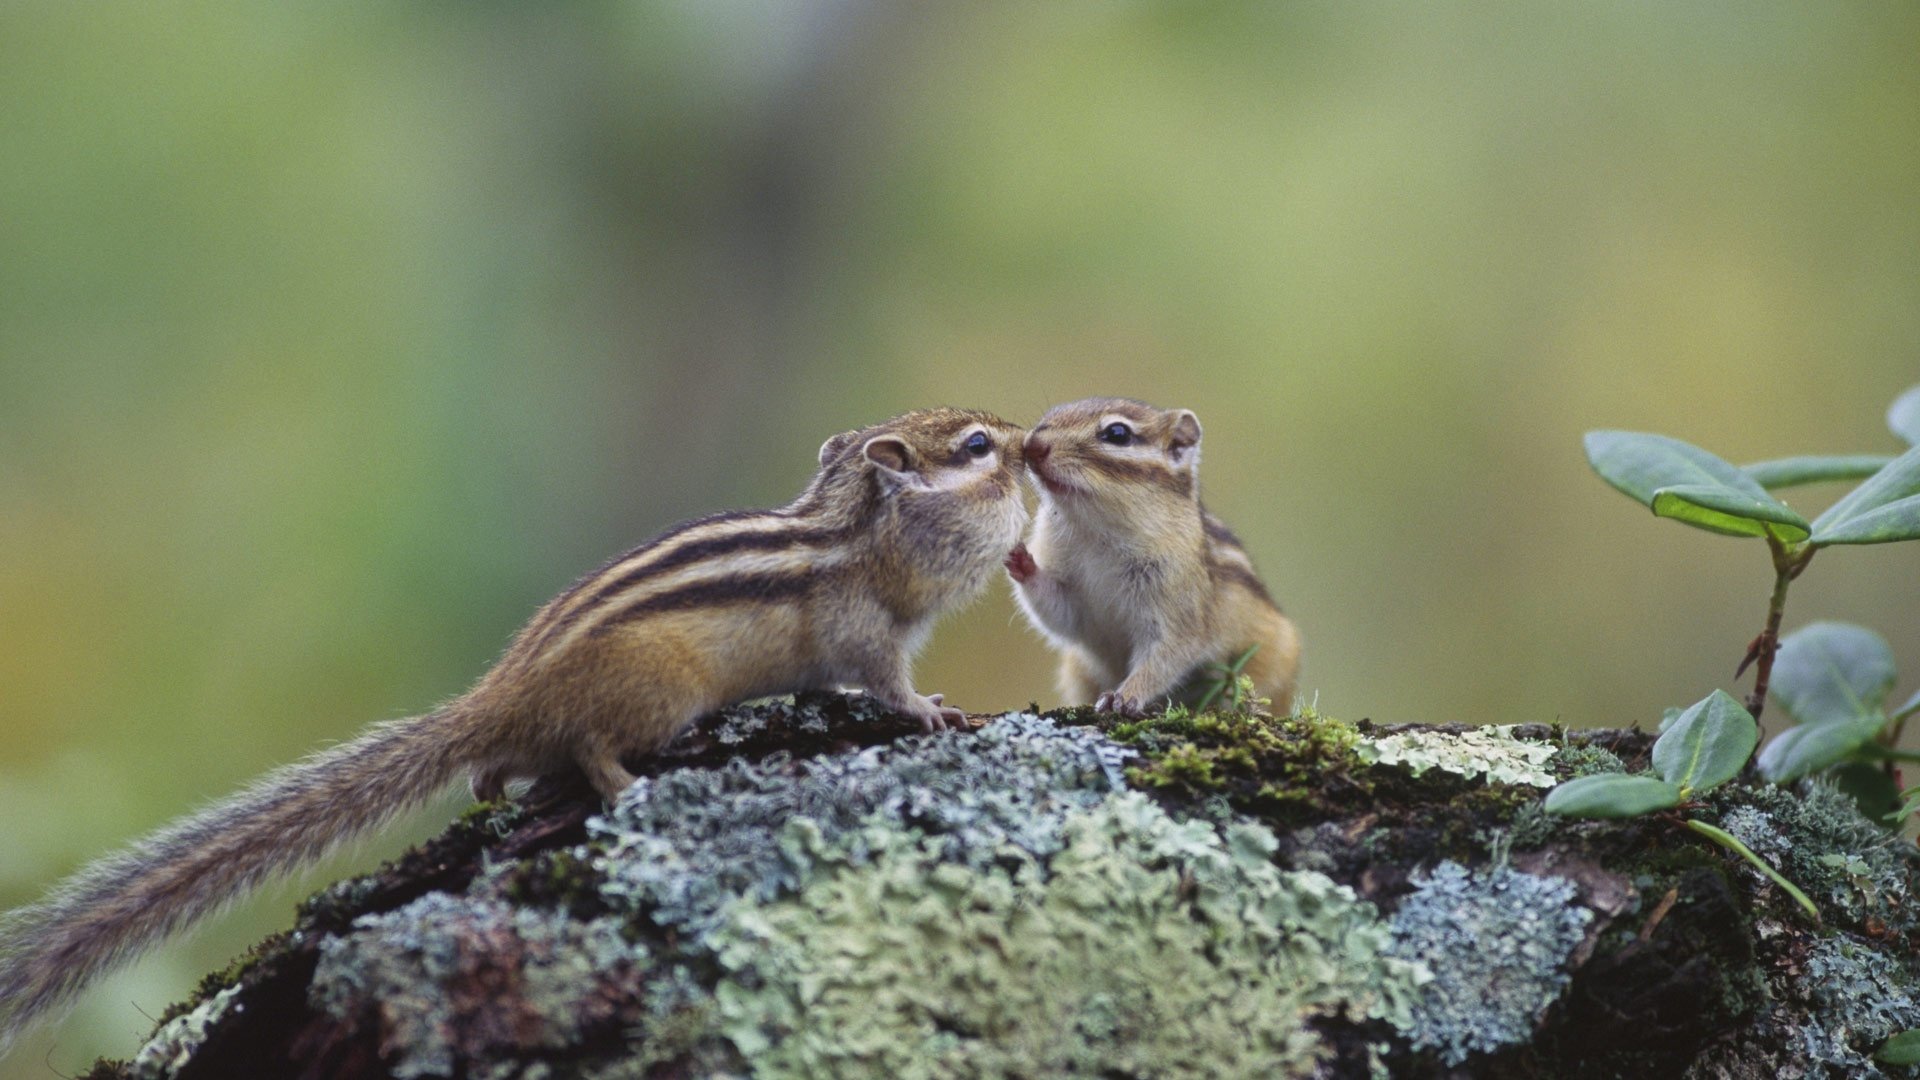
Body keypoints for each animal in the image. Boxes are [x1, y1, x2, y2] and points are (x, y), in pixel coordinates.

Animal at [0, 406, 1030, 1052]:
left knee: (494, 771)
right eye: (979, 445)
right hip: (657, 696)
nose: (1030, 444)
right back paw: (623, 783)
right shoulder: (866, 632)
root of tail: (502, 695)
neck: (851, 533)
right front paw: (934, 710)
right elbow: (888, 683)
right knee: (585, 746)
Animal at [1006, 397, 1300, 718]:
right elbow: (1059, 613)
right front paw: (1021, 561)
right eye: (1051, 414)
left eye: (1118, 433)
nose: (1033, 444)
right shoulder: (1075, 600)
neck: (1095, 532)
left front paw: (1124, 696)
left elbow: (1165, 655)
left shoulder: (1177, 605)